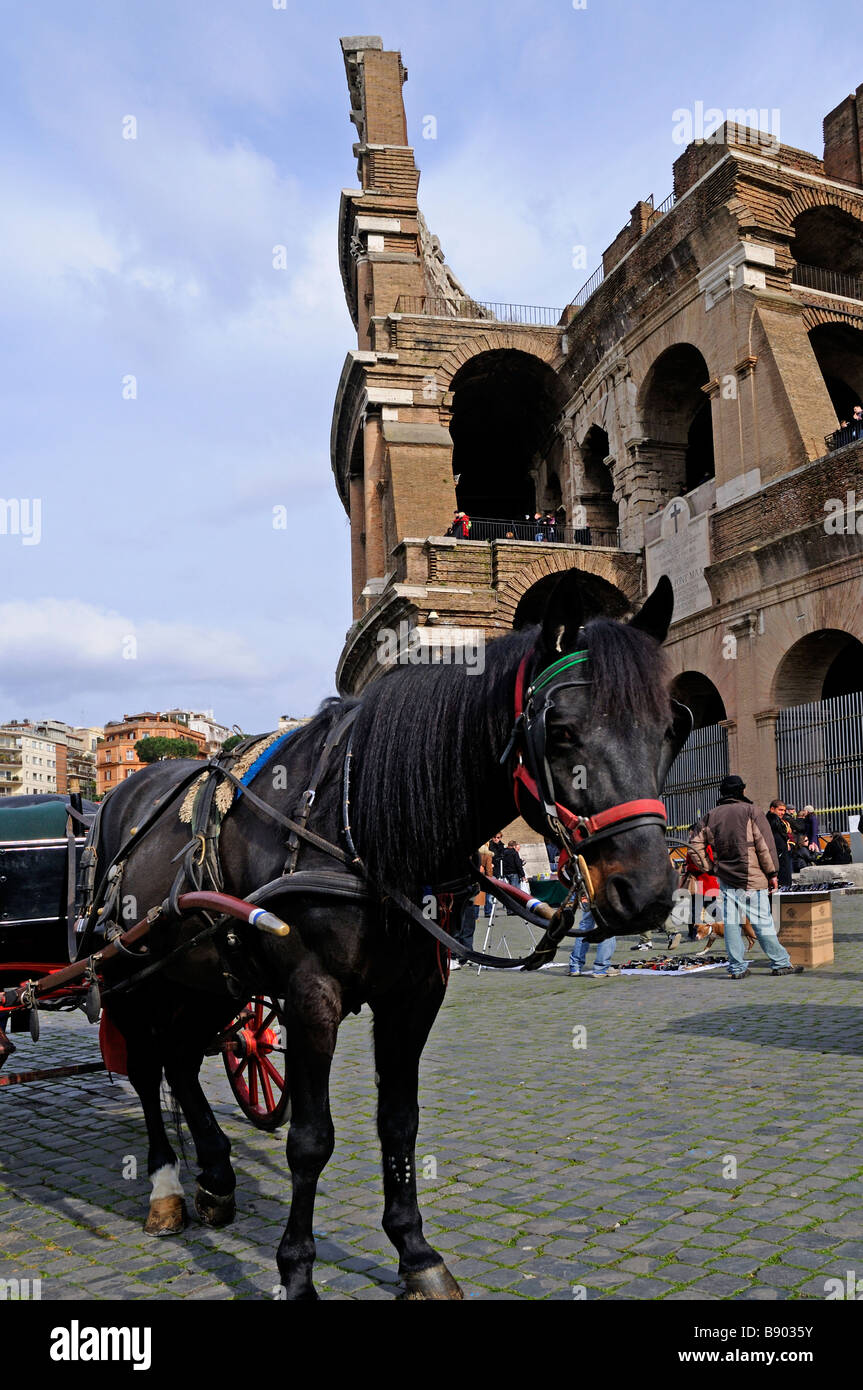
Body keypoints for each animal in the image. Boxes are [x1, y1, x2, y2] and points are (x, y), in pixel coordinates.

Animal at [91, 569, 685, 1300]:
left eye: (670, 729)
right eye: (563, 730)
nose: (648, 891)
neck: (364, 827)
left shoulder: (413, 995)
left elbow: (399, 1123)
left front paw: (414, 1251)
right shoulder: (310, 996)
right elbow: (310, 1139)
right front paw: (297, 1271)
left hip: (204, 976)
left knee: (179, 1057)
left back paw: (217, 1177)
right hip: (126, 974)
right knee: (149, 1067)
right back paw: (166, 1187)